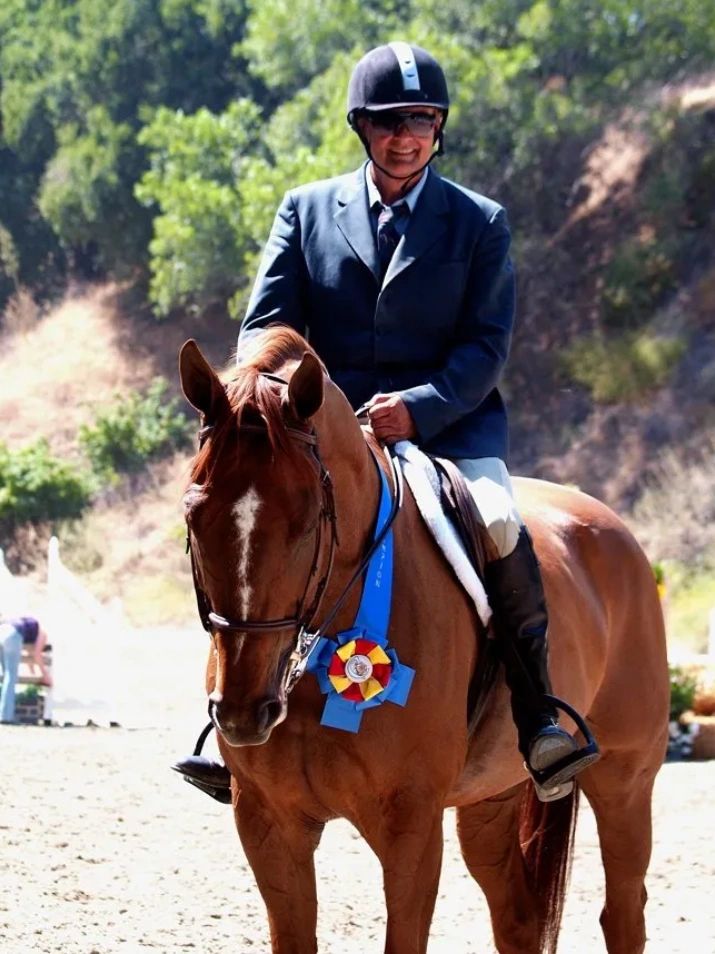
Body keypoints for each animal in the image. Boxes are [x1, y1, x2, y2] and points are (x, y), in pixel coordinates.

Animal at [178, 326, 669, 954]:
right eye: (194, 514)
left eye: (309, 520)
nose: (244, 712)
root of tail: (615, 530)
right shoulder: (269, 823)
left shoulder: (409, 825)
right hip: (490, 798)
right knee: (518, 917)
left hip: (626, 779)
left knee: (623, 911)